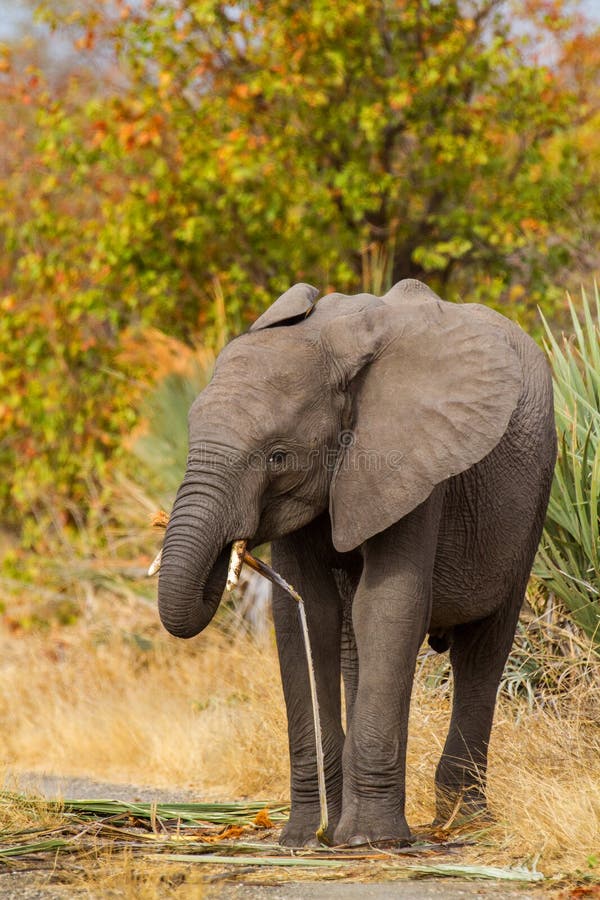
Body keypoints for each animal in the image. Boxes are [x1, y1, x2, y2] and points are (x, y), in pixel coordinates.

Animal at [157, 278, 556, 848]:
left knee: (481, 648)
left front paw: (371, 843)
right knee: (356, 647)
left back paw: (461, 823)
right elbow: (306, 613)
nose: (233, 550)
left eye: (278, 457)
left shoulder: (414, 459)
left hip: (532, 497)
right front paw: (306, 839)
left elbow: (387, 605)